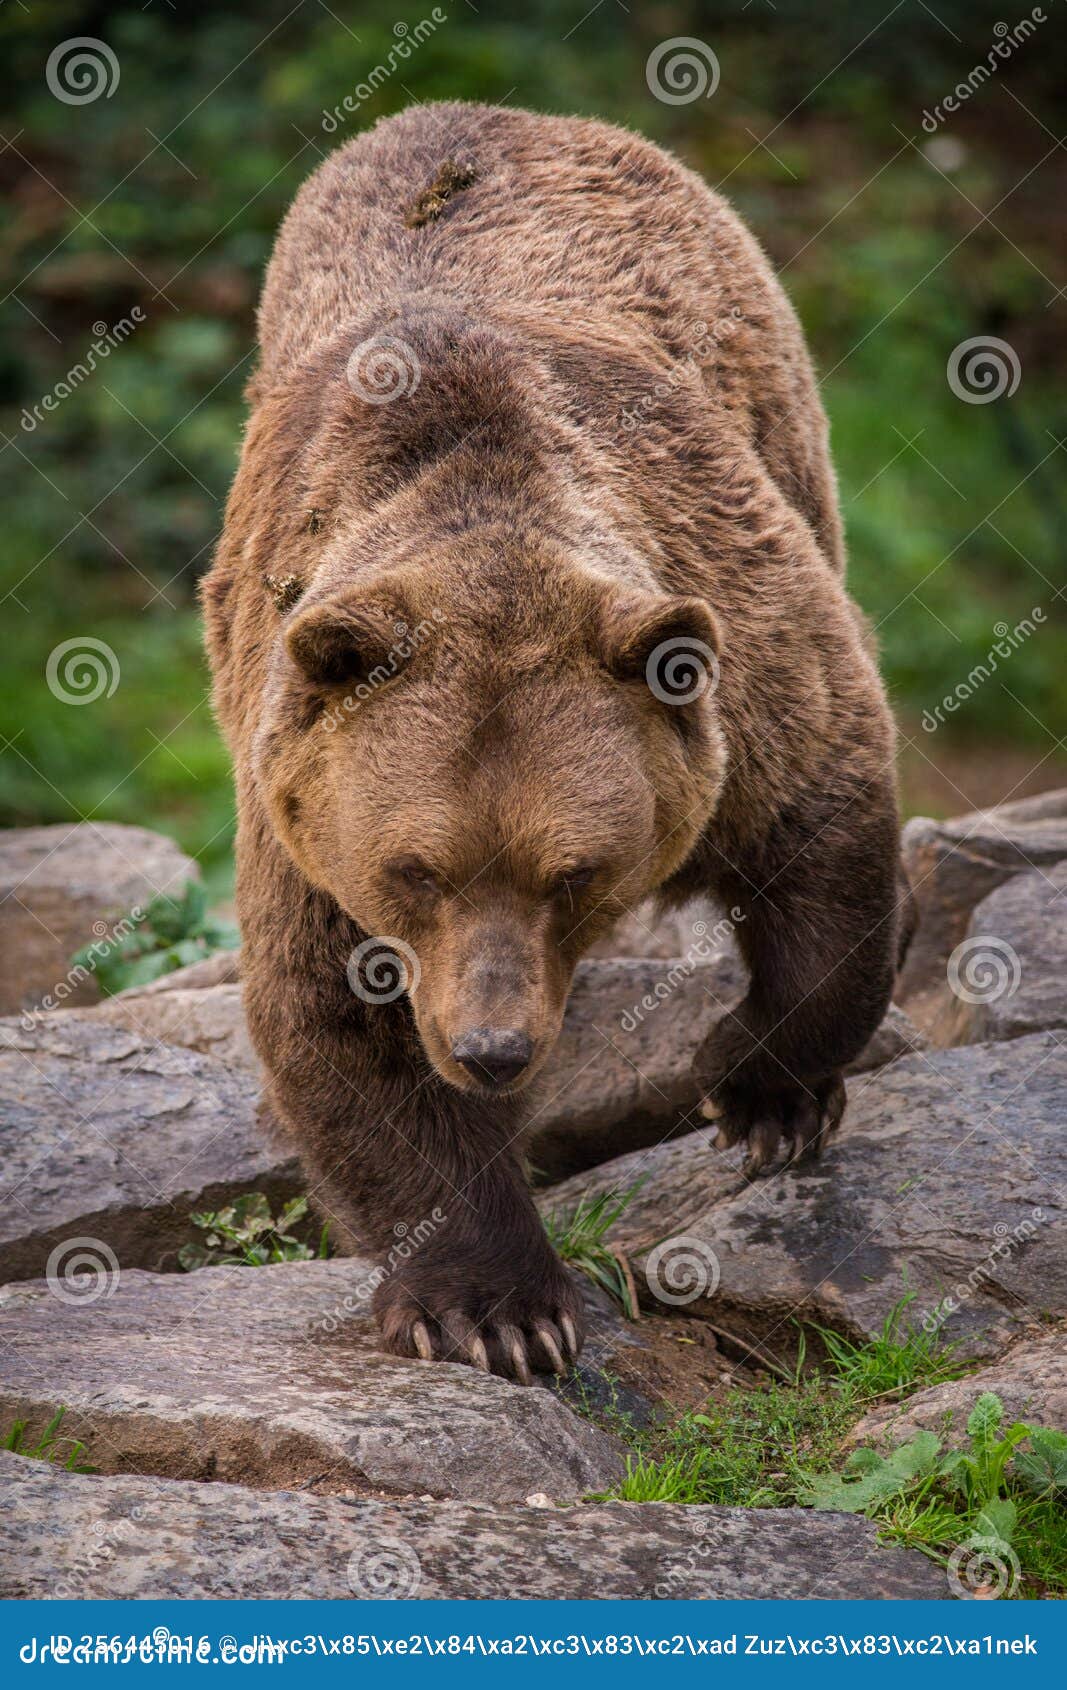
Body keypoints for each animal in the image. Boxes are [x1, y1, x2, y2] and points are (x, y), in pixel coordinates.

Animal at [203, 101, 914, 1384]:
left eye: (572, 872)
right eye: (414, 869)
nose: (491, 1046)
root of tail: (492, 112)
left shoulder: (735, 644)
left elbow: (821, 844)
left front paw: (753, 1089)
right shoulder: (298, 790)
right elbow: (341, 1019)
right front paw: (494, 1306)